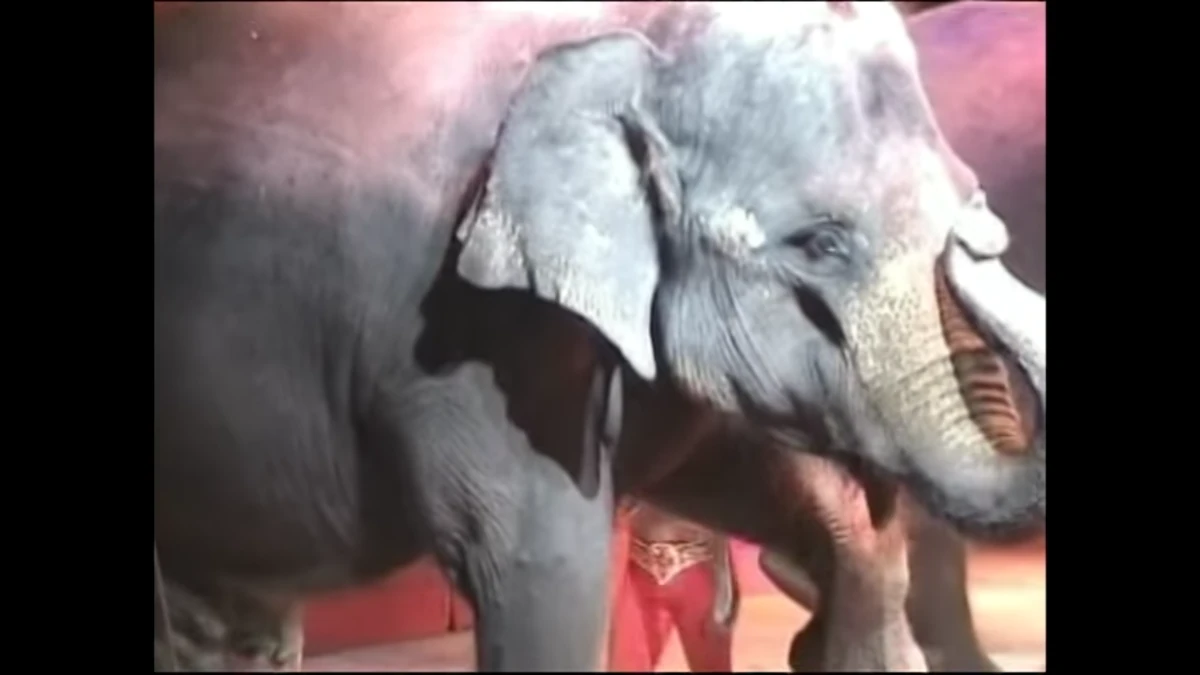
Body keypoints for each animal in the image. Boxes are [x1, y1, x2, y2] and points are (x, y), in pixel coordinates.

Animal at [154, 2, 1047, 671]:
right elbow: (540, 566)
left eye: (966, 188)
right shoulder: (463, 326)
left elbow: (735, 472)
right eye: (821, 242)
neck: (634, 37)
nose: (981, 234)